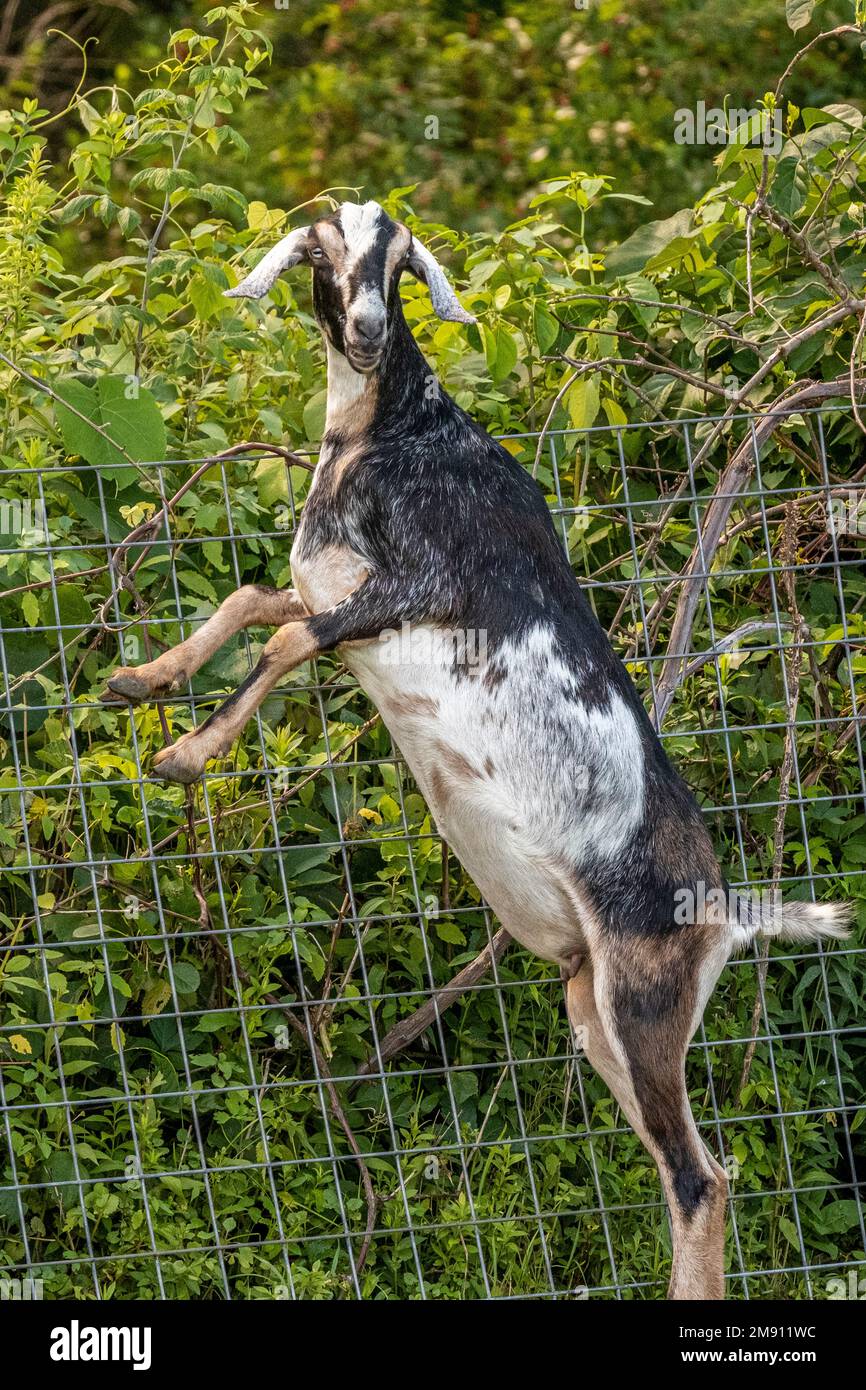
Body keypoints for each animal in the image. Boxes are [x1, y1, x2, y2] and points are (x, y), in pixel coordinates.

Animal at [107, 199, 851, 1299]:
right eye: (326, 251)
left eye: (400, 263)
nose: (368, 331)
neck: (396, 434)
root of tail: (729, 913)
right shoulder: (339, 592)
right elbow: (252, 603)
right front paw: (142, 683)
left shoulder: (411, 587)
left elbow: (283, 640)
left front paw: (185, 758)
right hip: (593, 1007)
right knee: (702, 1170)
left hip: (644, 1003)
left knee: (694, 1178)